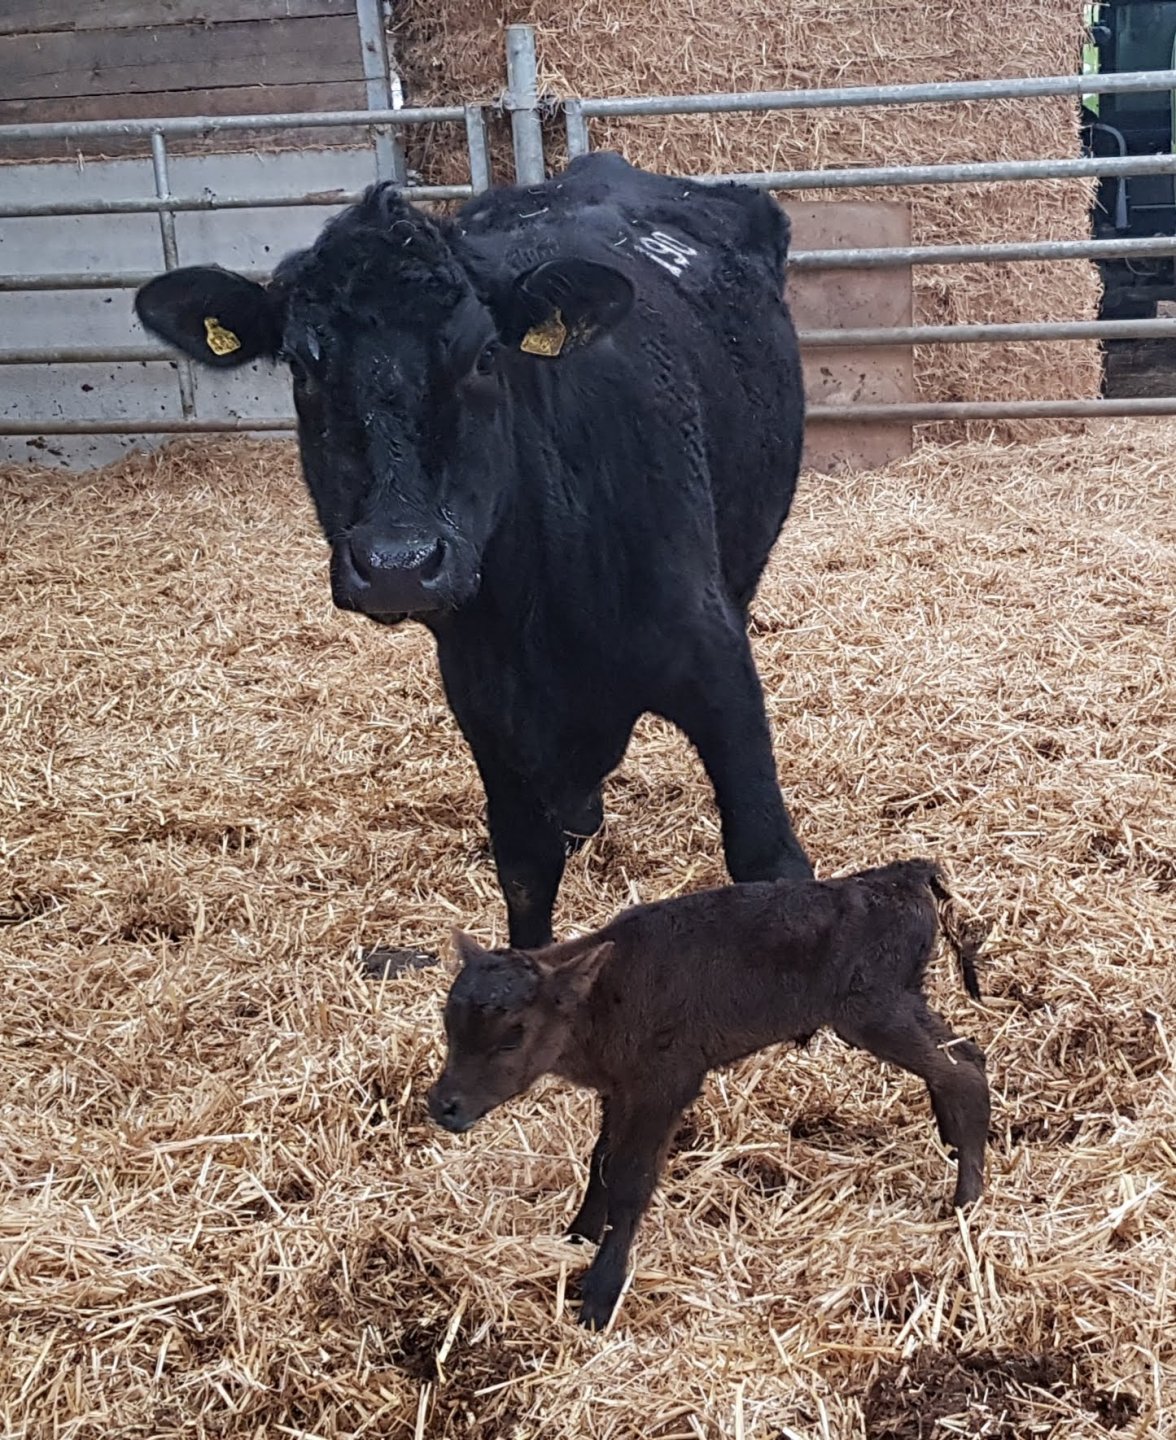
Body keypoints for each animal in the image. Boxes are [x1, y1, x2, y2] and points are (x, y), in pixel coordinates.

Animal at [133, 151, 812, 948]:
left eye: (486, 356)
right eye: (301, 369)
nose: (396, 564)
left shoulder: (715, 662)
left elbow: (768, 861)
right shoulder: (484, 701)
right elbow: (525, 868)